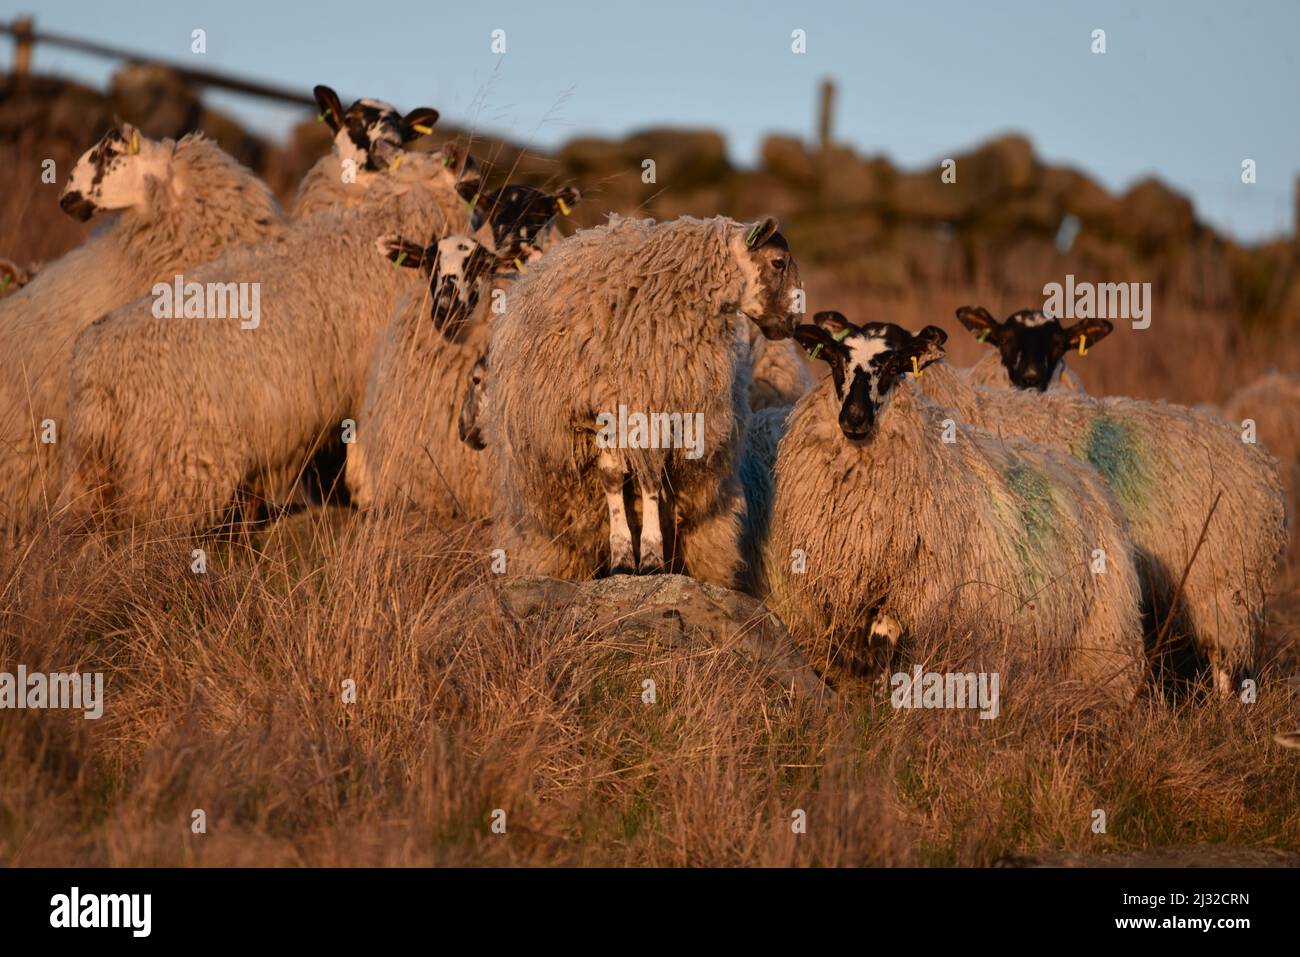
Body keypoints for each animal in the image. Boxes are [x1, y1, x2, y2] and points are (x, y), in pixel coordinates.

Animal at [485, 214, 805, 586]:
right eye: (778, 262)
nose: (792, 324)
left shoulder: (659, 410)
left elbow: (650, 478)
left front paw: (651, 558)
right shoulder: (604, 410)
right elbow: (612, 477)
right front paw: (624, 558)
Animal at [758, 316, 1146, 700]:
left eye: (894, 367)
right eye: (835, 362)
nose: (854, 418)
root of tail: (1090, 479)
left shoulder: (909, 591)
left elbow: (882, 655)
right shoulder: (841, 593)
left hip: (1101, 642)